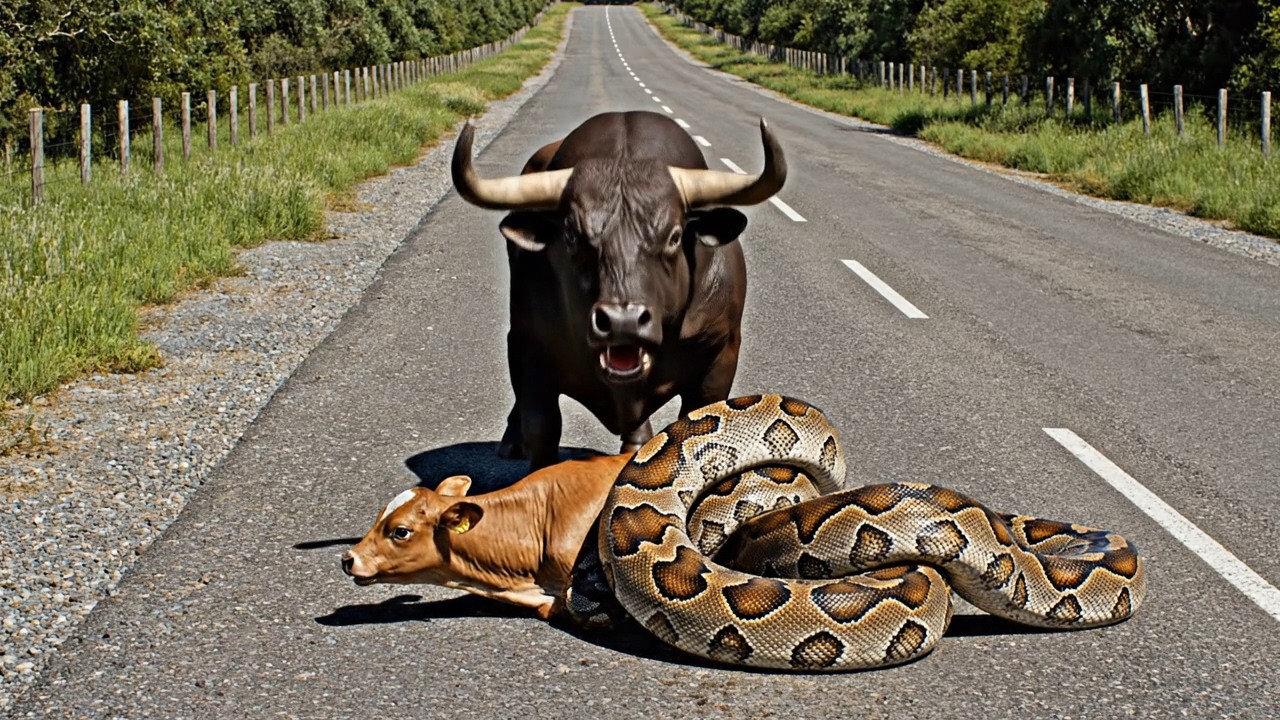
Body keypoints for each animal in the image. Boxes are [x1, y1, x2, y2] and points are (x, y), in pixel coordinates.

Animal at [451, 110, 787, 470]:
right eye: (572, 235)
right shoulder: (526, 346)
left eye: (674, 236)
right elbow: (541, 427)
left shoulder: (720, 354)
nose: (621, 322)